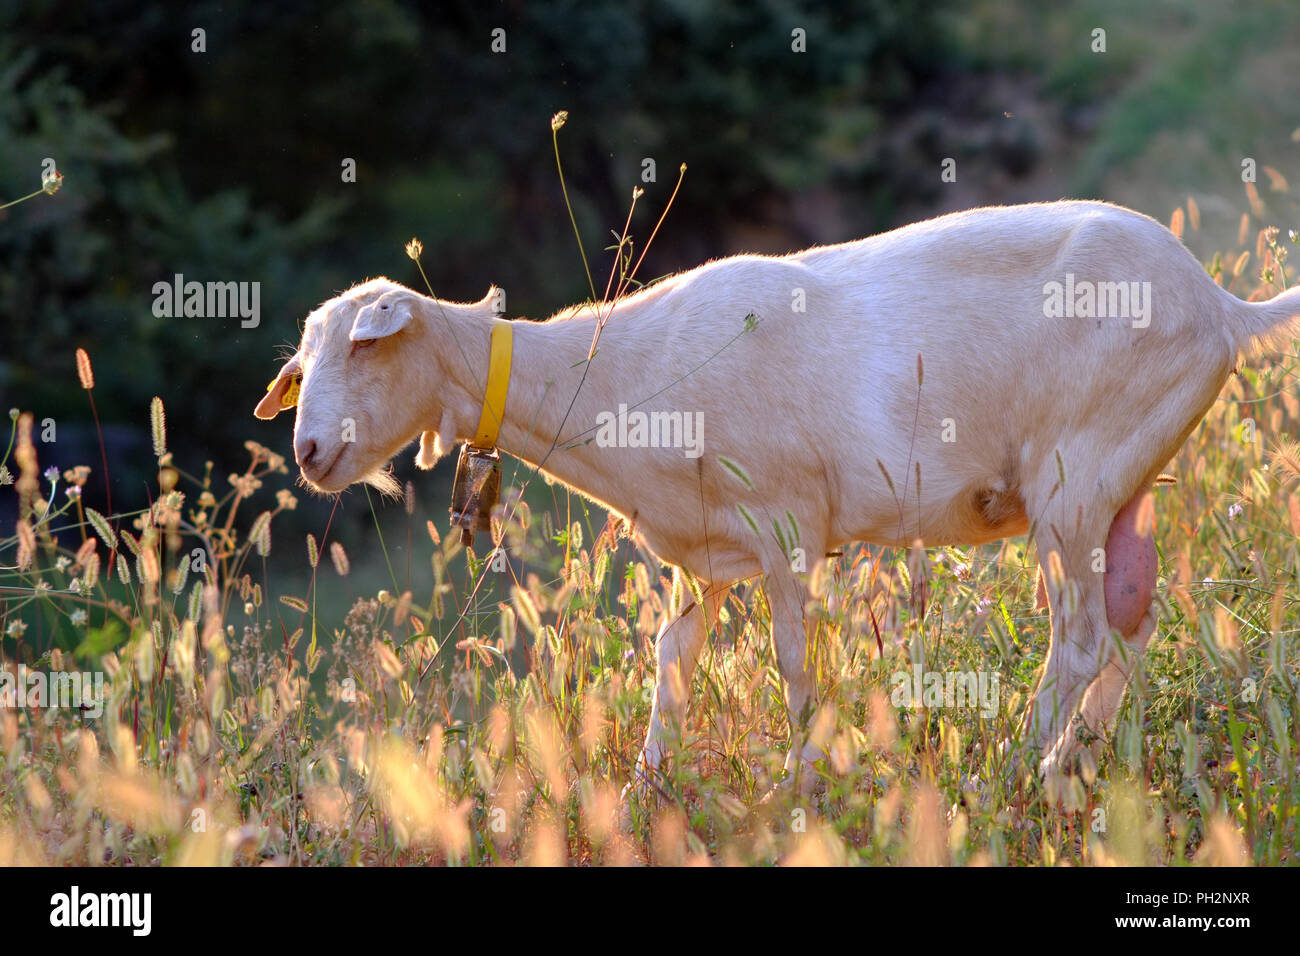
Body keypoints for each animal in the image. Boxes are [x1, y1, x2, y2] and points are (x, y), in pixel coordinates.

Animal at [253, 200, 1300, 786]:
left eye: (363, 348)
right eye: (303, 362)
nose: (307, 450)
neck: (622, 373)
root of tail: (1220, 305)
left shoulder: (789, 524)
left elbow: (796, 668)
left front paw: (800, 784)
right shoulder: (702, 556)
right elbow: (670, 667)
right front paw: (644, 792)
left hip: (1073, 479)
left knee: (1079, 638)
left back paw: (1021, 767)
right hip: (1124, 479)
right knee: (1129, 624)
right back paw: (1079, 766)